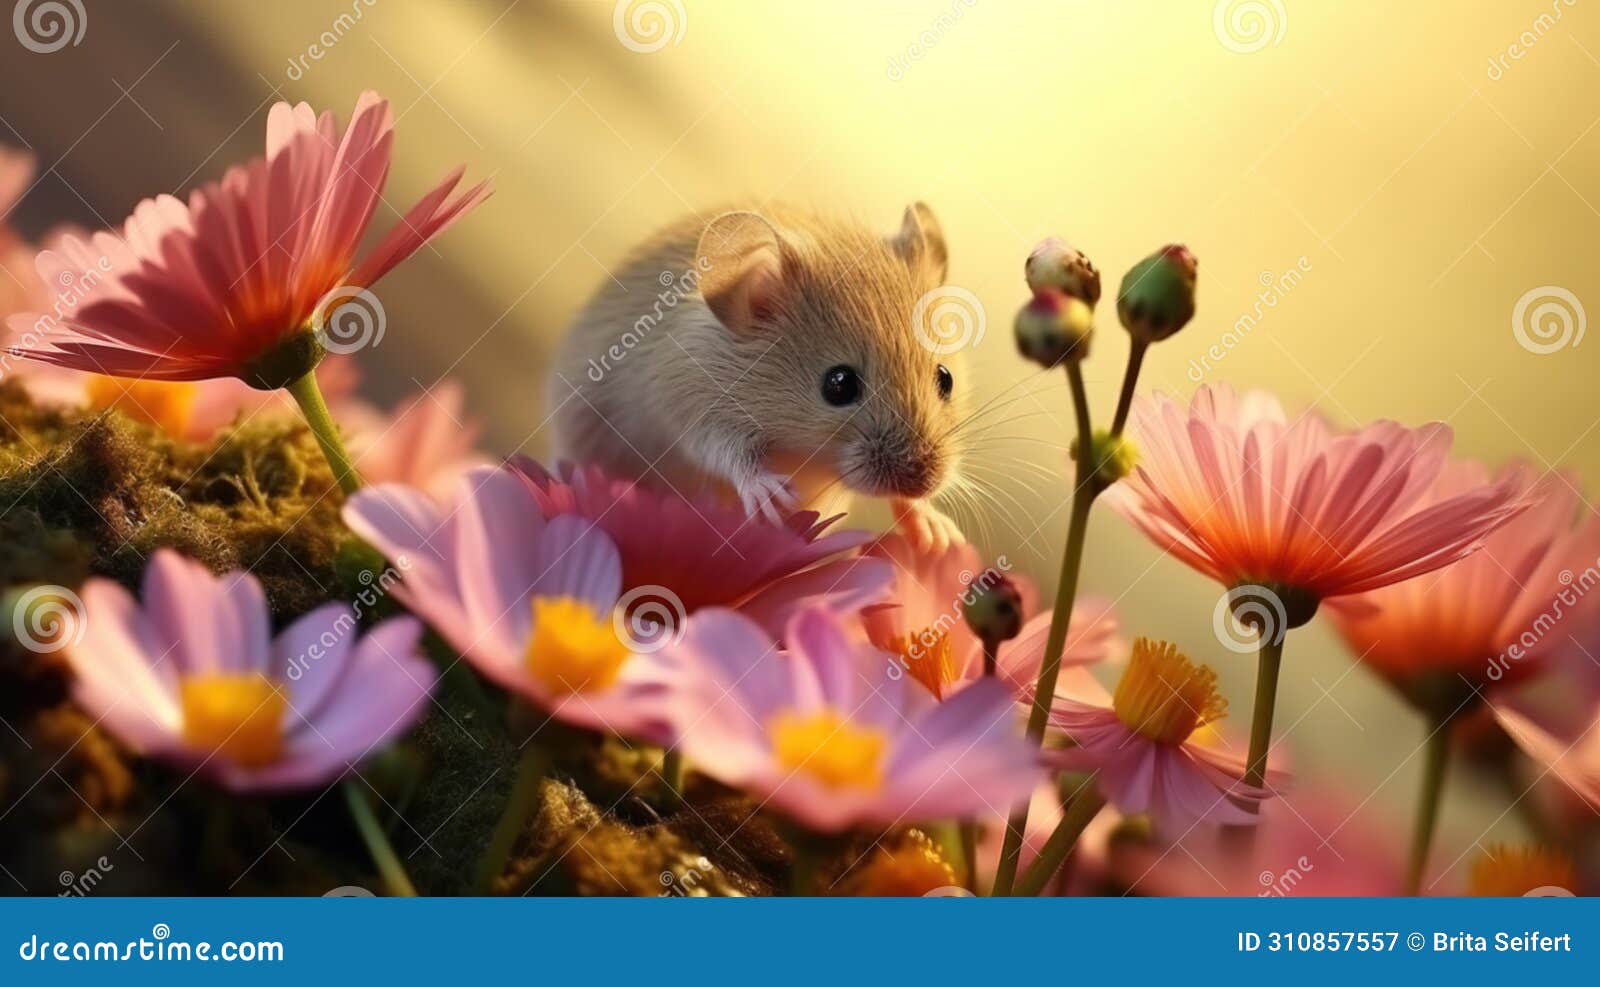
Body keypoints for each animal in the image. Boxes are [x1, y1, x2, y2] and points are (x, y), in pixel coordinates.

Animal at [547, 202, 967, 551]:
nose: (923, 479)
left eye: (945, 378)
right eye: (839, 384)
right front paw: (773, 497)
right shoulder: (692, 402)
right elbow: (733, 455)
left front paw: (937, 534)